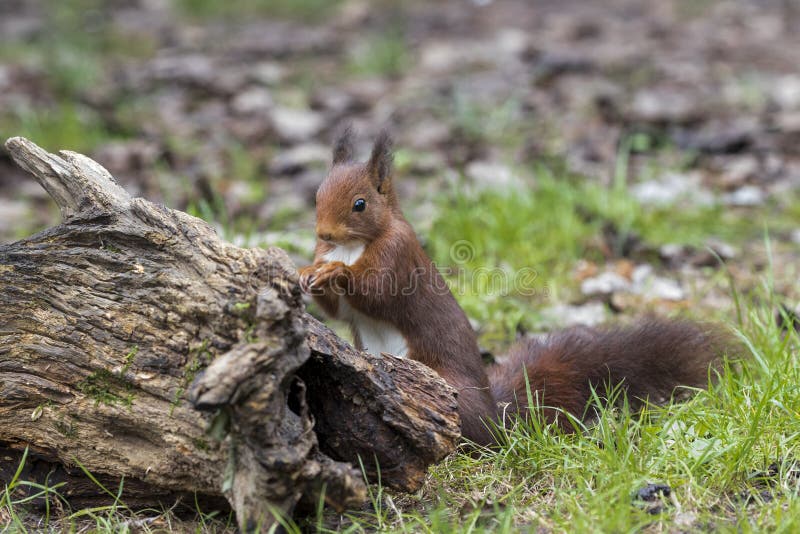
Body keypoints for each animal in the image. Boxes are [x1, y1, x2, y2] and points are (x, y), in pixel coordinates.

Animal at [298, 128, 731, 446]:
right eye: (316, 194)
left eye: (360, 204)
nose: (323, 233)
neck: (354, 244)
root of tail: (495, 416)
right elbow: (338, 310)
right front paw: (306, 271)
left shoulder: (398, 255)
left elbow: (377, 290)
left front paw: (335, 271)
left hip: (443, 390)